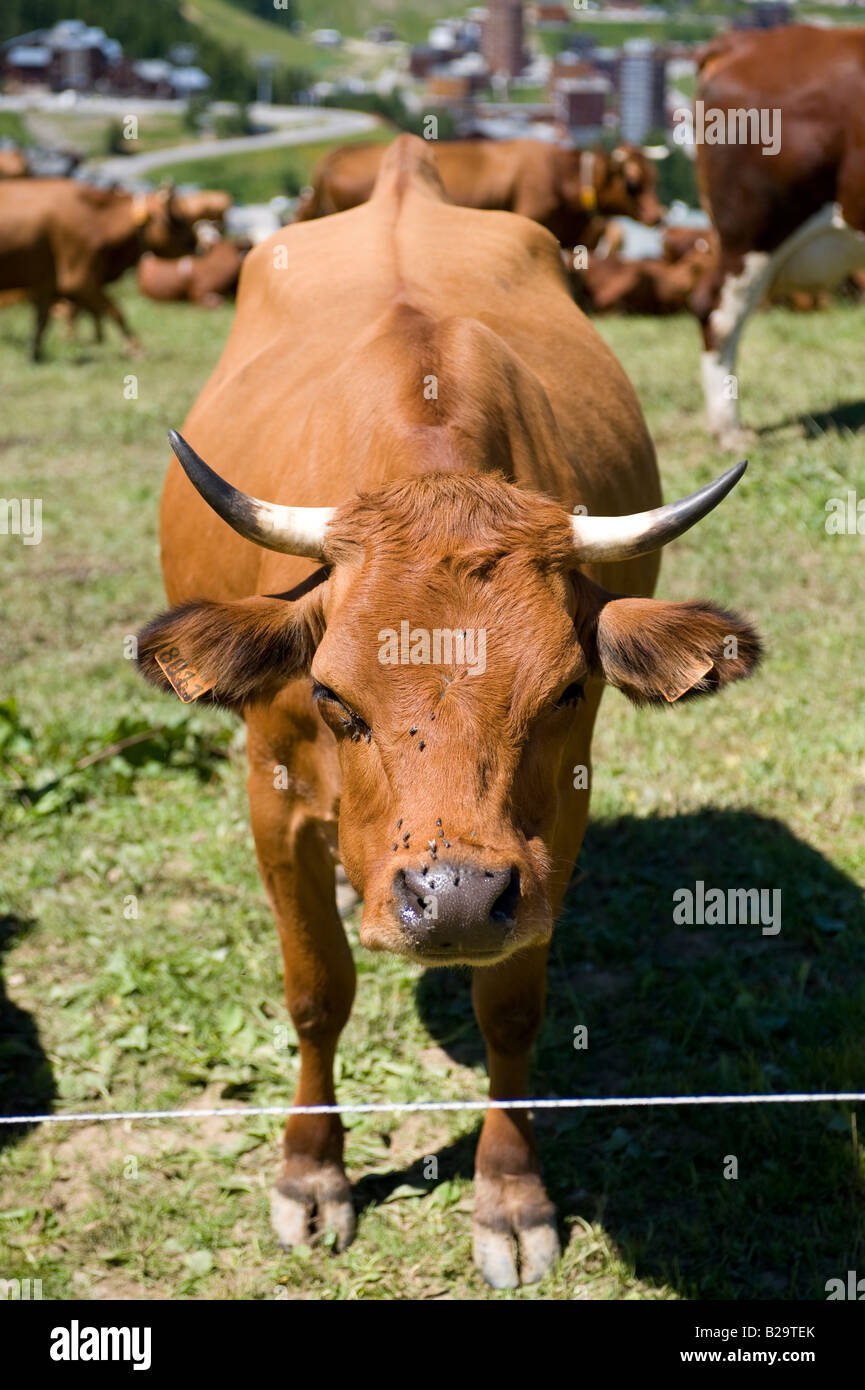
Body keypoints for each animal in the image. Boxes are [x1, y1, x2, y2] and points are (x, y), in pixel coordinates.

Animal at [0, 181, 201, 359]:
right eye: (178, 219)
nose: (199, 247)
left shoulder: (47, 283)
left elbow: (41, 321)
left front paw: (35, 354)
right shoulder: (77, 280)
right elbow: (116, 311)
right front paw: (135, 348)